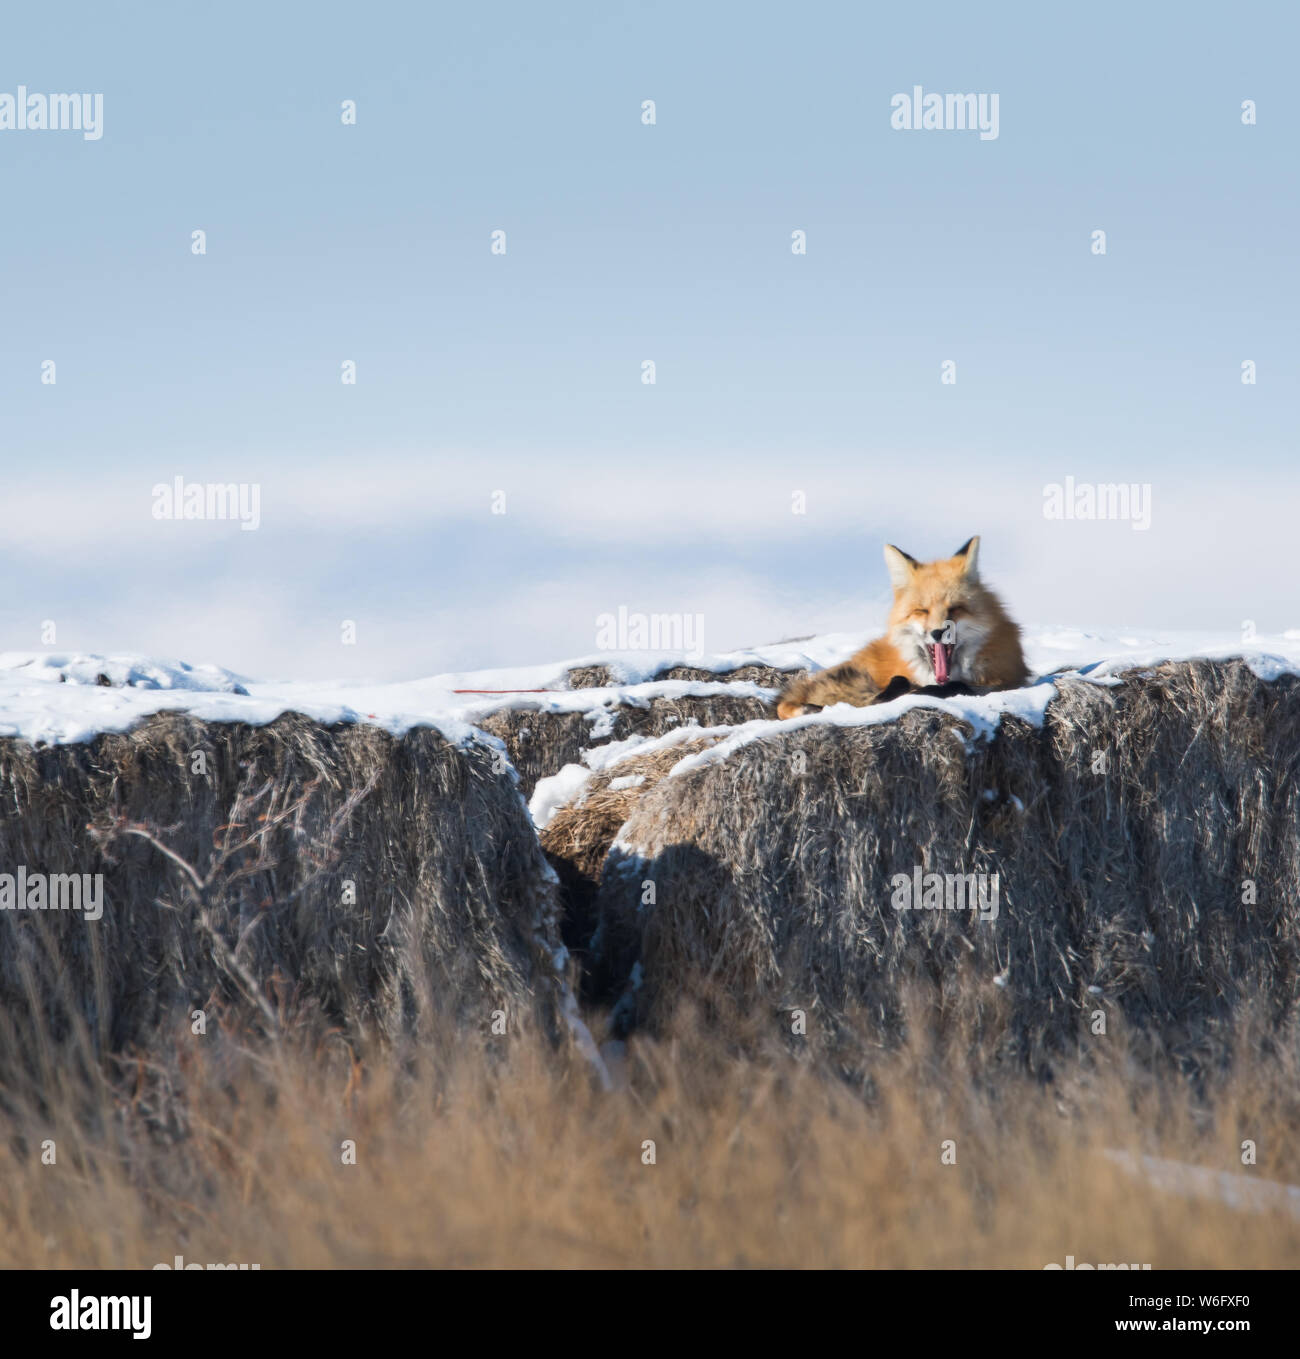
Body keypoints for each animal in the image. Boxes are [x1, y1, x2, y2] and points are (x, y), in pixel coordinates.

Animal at [774, 536, 1030, 718]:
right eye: (921, 611)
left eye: (955, 609)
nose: (938, 632)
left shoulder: (1006, 679)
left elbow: (960, 686)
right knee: (784, 704)